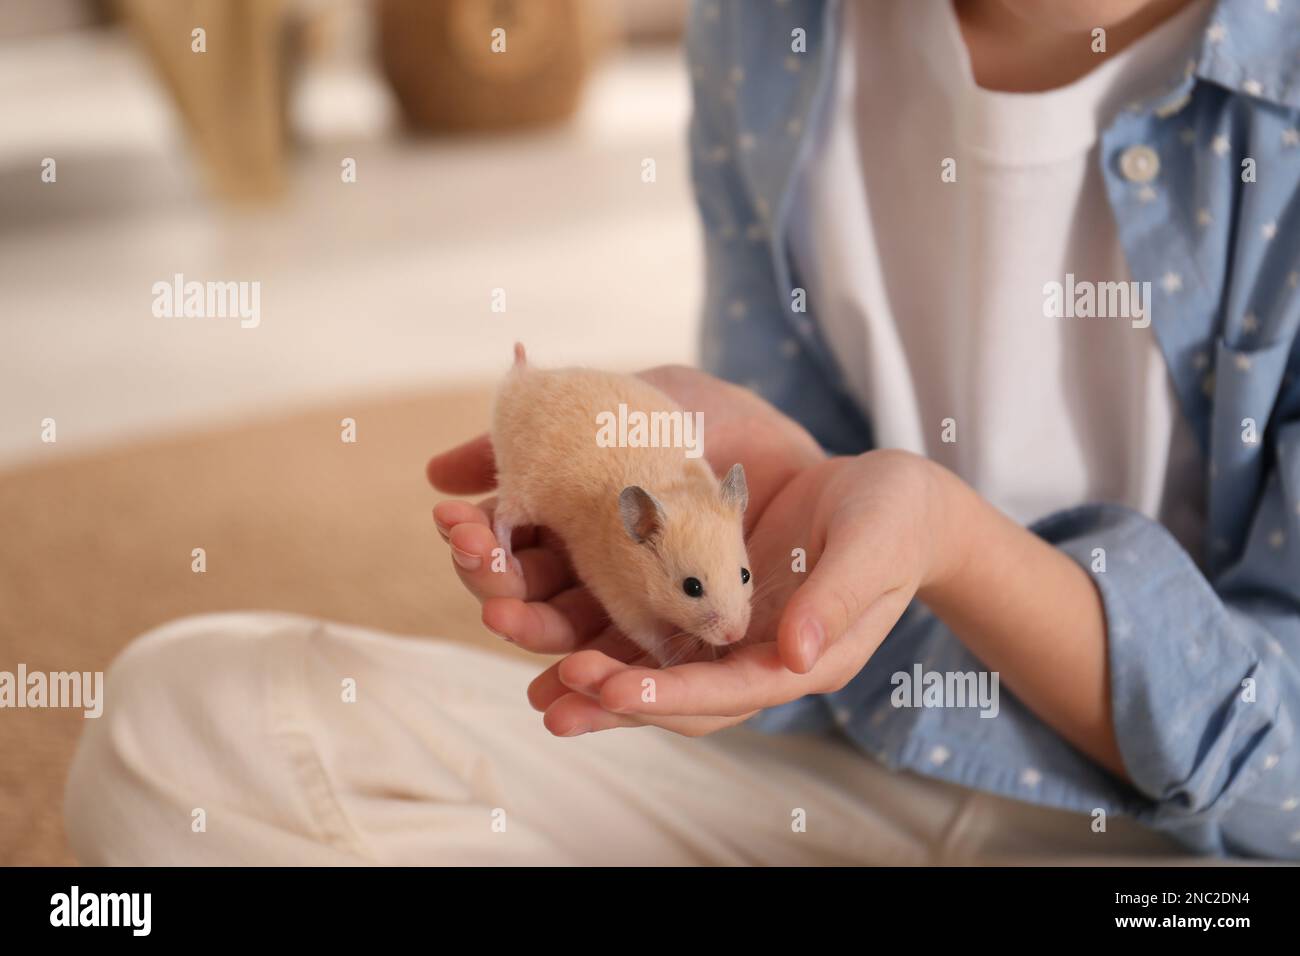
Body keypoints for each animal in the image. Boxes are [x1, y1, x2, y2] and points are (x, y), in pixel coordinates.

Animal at [490, 344, 752, 664]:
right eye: (691, 587)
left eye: (745, 575)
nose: (736, 635)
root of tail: (522, 380)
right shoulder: (620, 598)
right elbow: (651, 639)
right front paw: (675, 660)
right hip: (522, 489)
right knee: (501, 518)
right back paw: (510, 563)